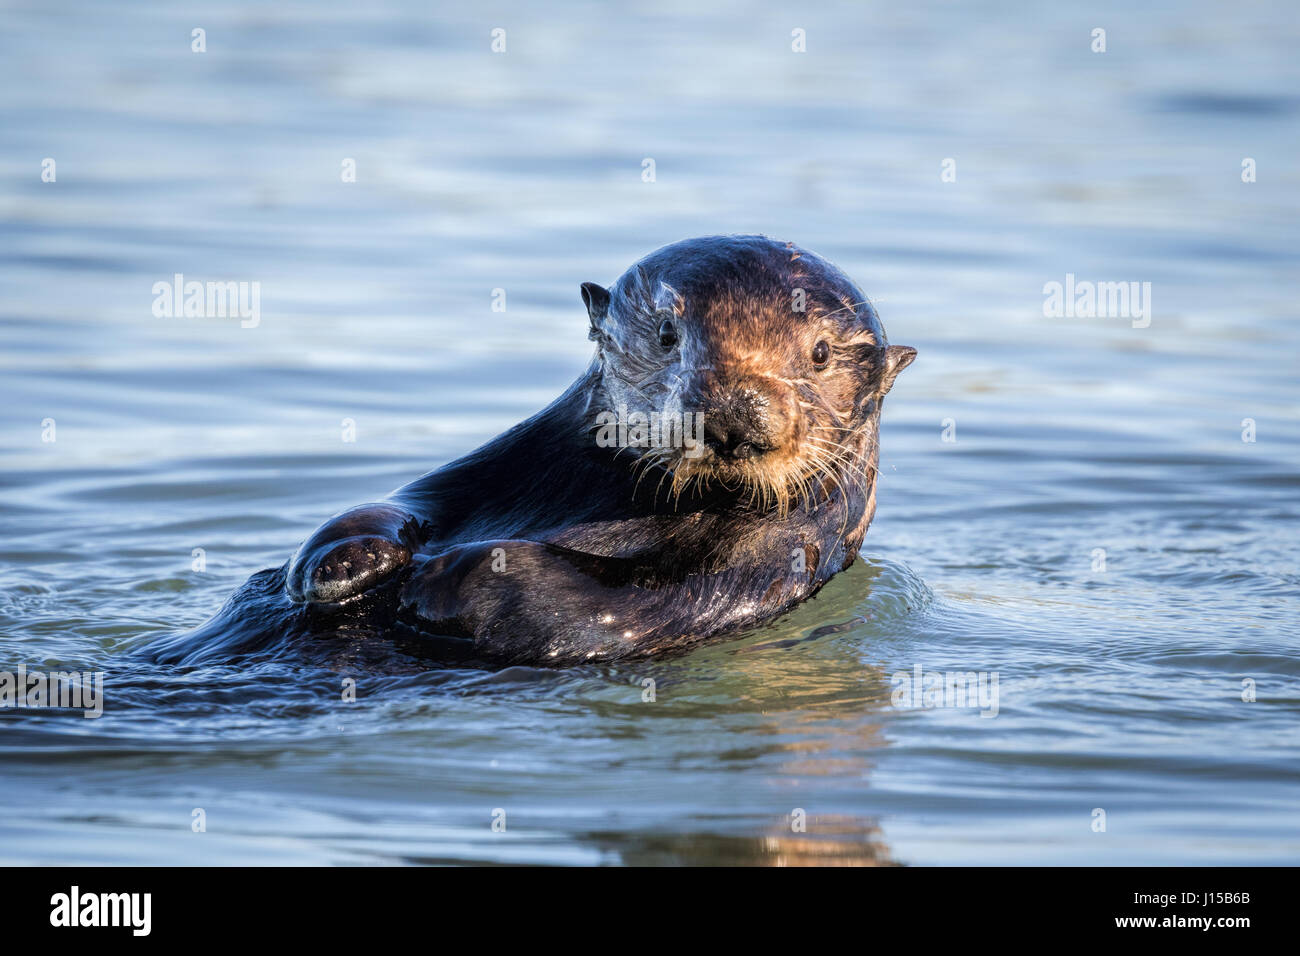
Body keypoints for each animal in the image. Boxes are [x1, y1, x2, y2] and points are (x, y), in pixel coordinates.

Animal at [150, 235, 915, 668]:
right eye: (669, 334)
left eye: (820, 353)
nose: (734, 416)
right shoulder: (520, 456)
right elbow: (413, 498)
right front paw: (348, 559)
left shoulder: (772, 556)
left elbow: (640, 606)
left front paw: (447, 576)